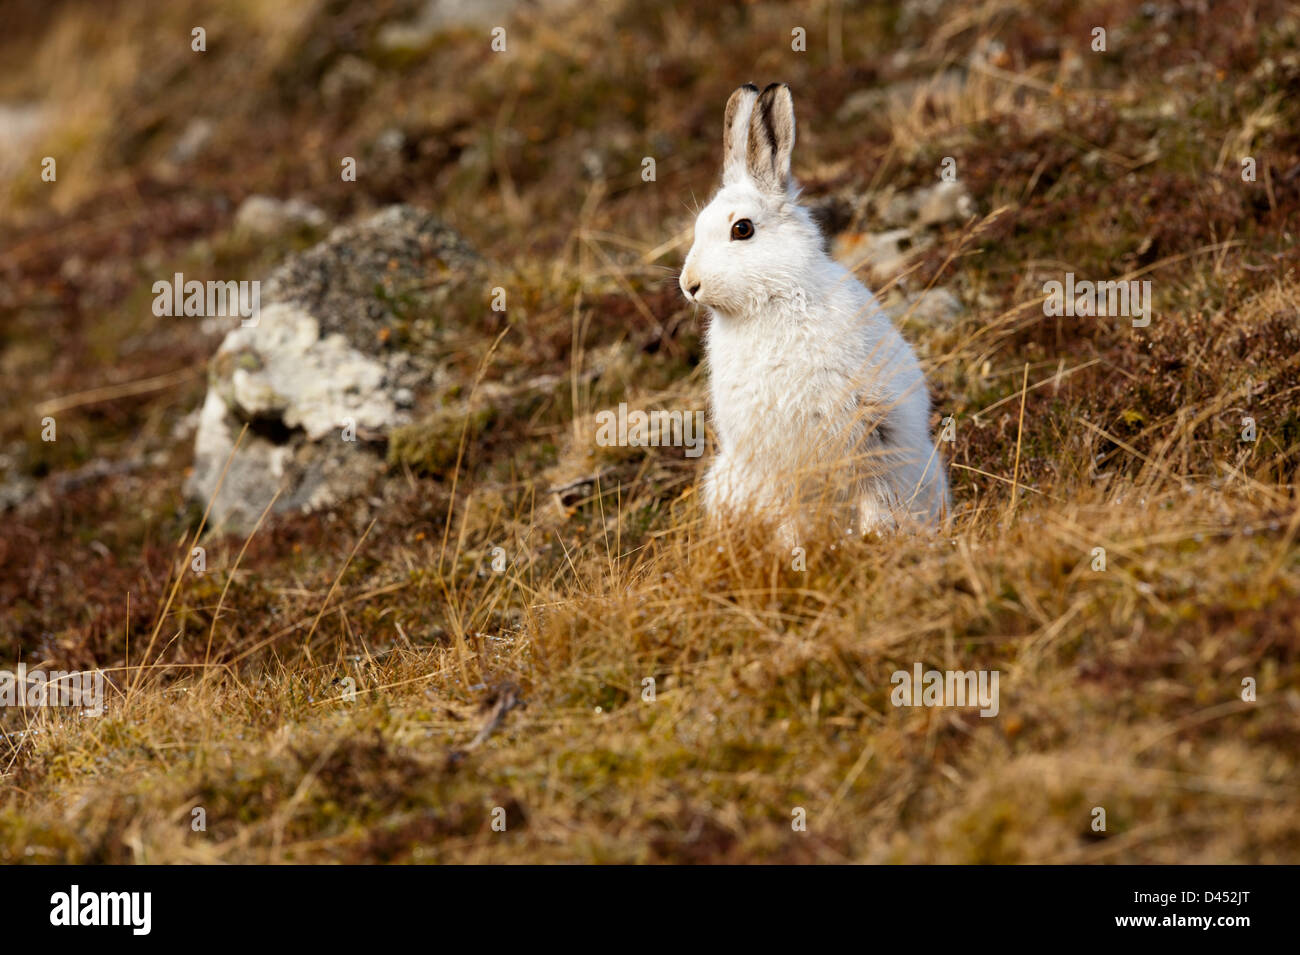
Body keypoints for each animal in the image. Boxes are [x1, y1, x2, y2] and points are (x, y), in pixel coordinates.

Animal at [679, 82, 949, 541]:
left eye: (742, 229)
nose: (689, 284)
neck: (771, 299)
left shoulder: (869, 431)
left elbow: (871, 493)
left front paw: (873, 536)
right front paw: (793, 547)